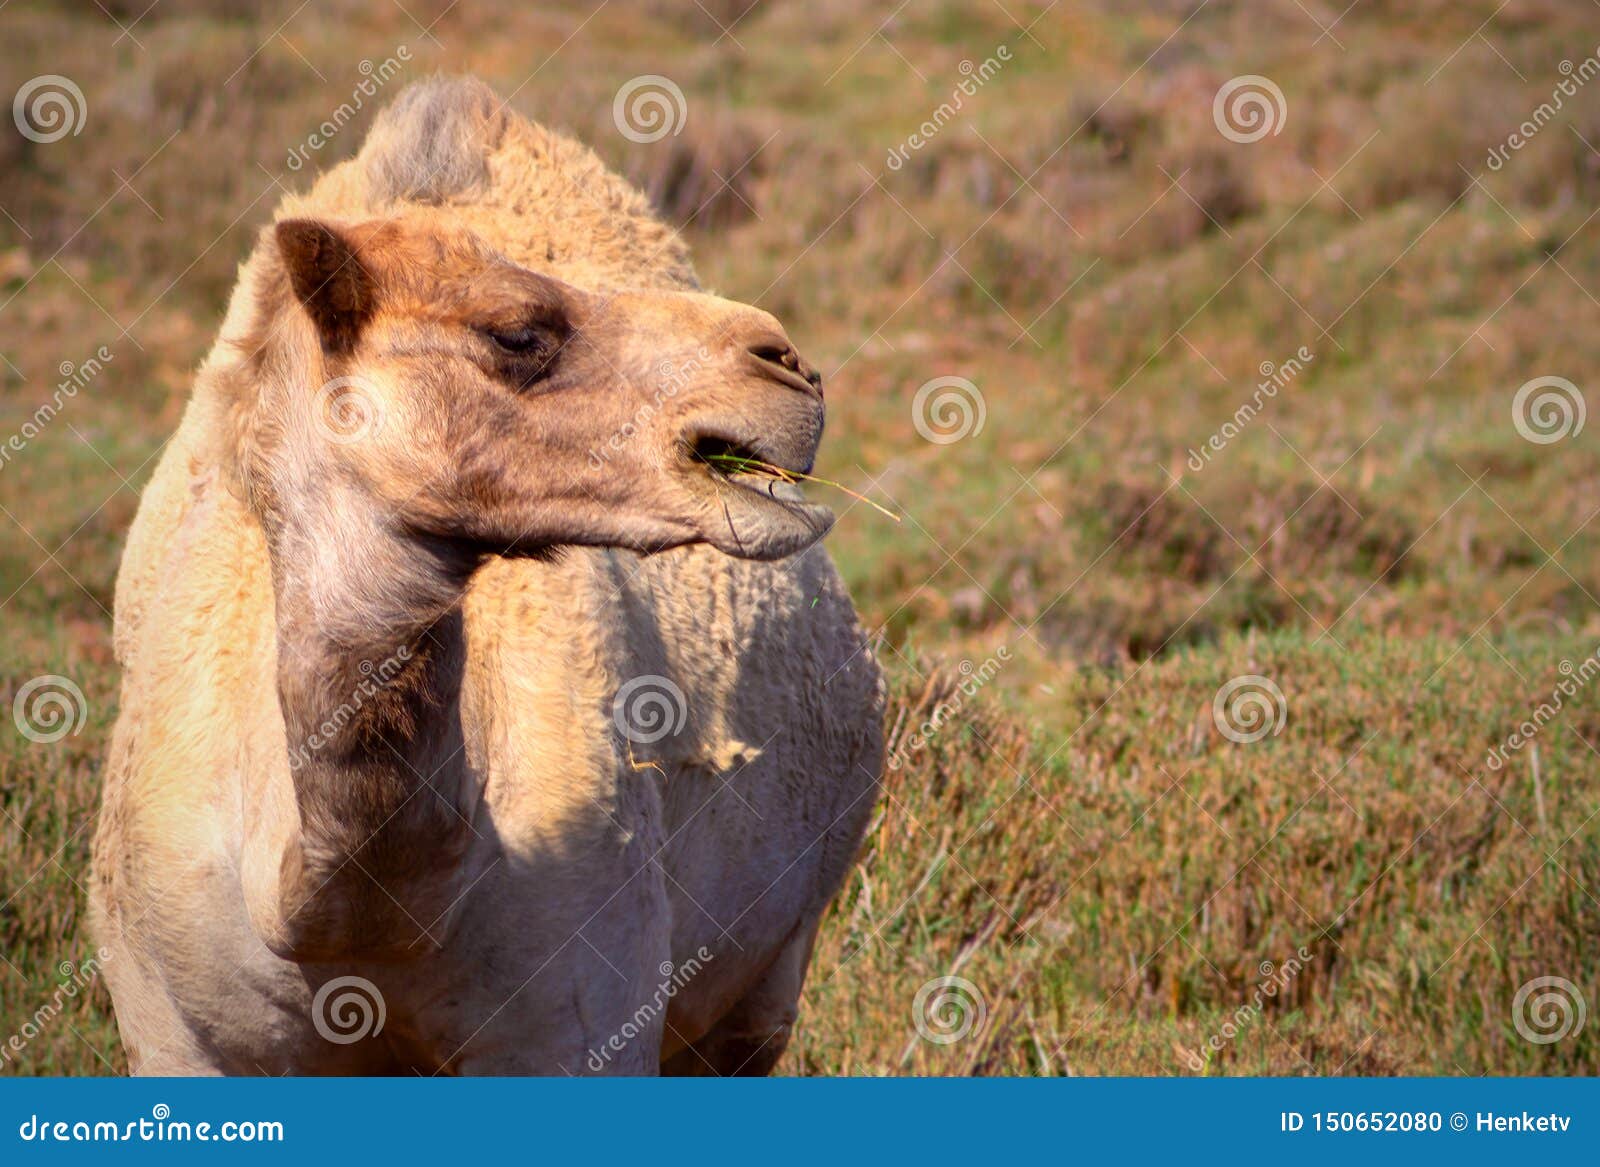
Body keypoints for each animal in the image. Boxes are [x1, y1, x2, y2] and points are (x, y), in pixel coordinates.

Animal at [89, 76, 884, 1075]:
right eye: (517, 333)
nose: (785, 365)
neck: (347, 924)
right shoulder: (174, 1031)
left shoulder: (579, 1027)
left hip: (772, 973)